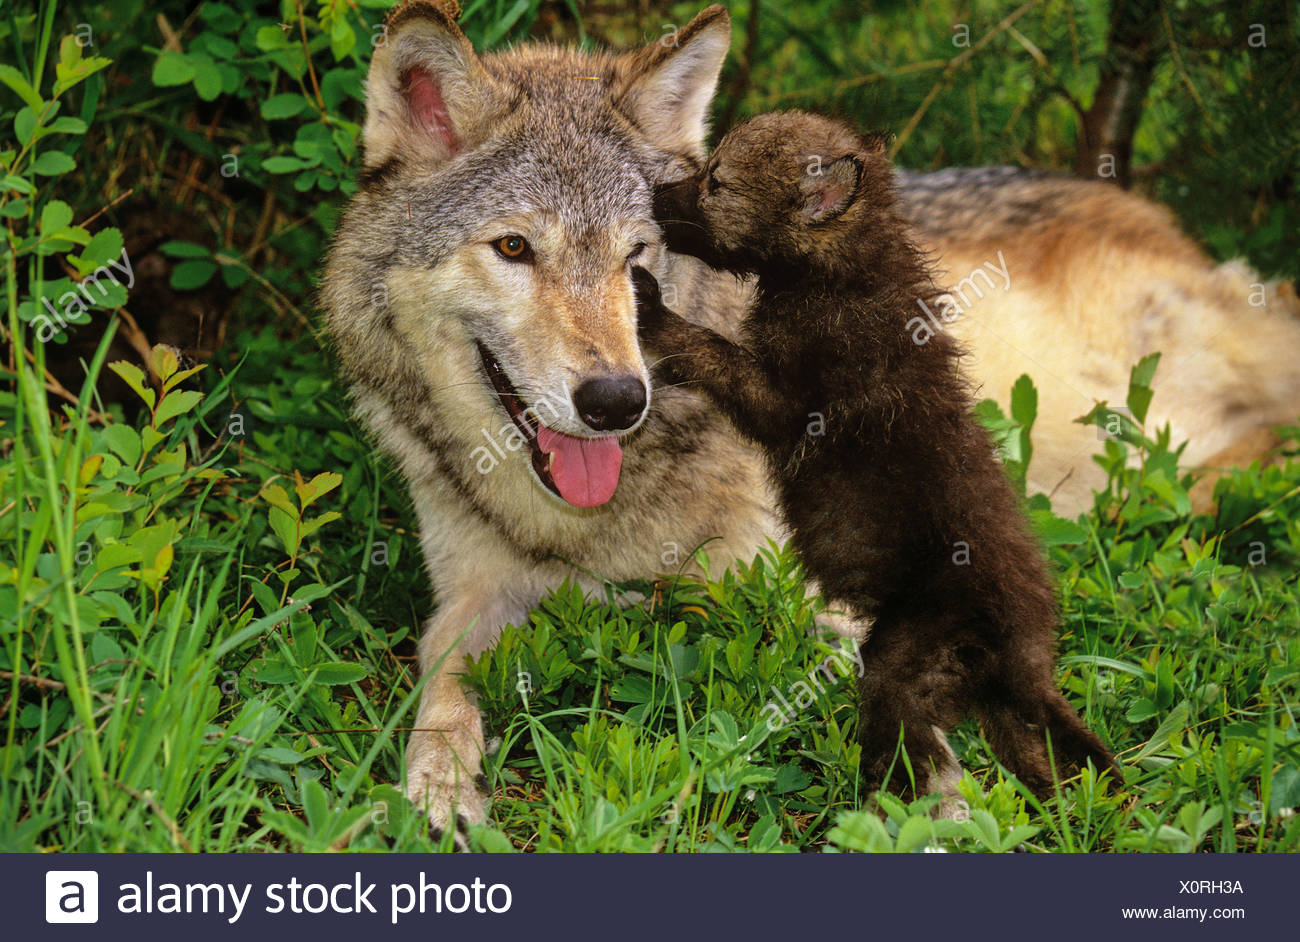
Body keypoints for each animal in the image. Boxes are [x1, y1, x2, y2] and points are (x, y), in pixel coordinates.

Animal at [632, 110, 1118, 799]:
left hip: (909, 653)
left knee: (916, 748)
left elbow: (711, 350)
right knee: (1036, 761)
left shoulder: (790, 404)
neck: (841, 270)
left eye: (717, 180)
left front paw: (651, 308)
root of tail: (1027, 649)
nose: (652, 192)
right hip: (997, 703)